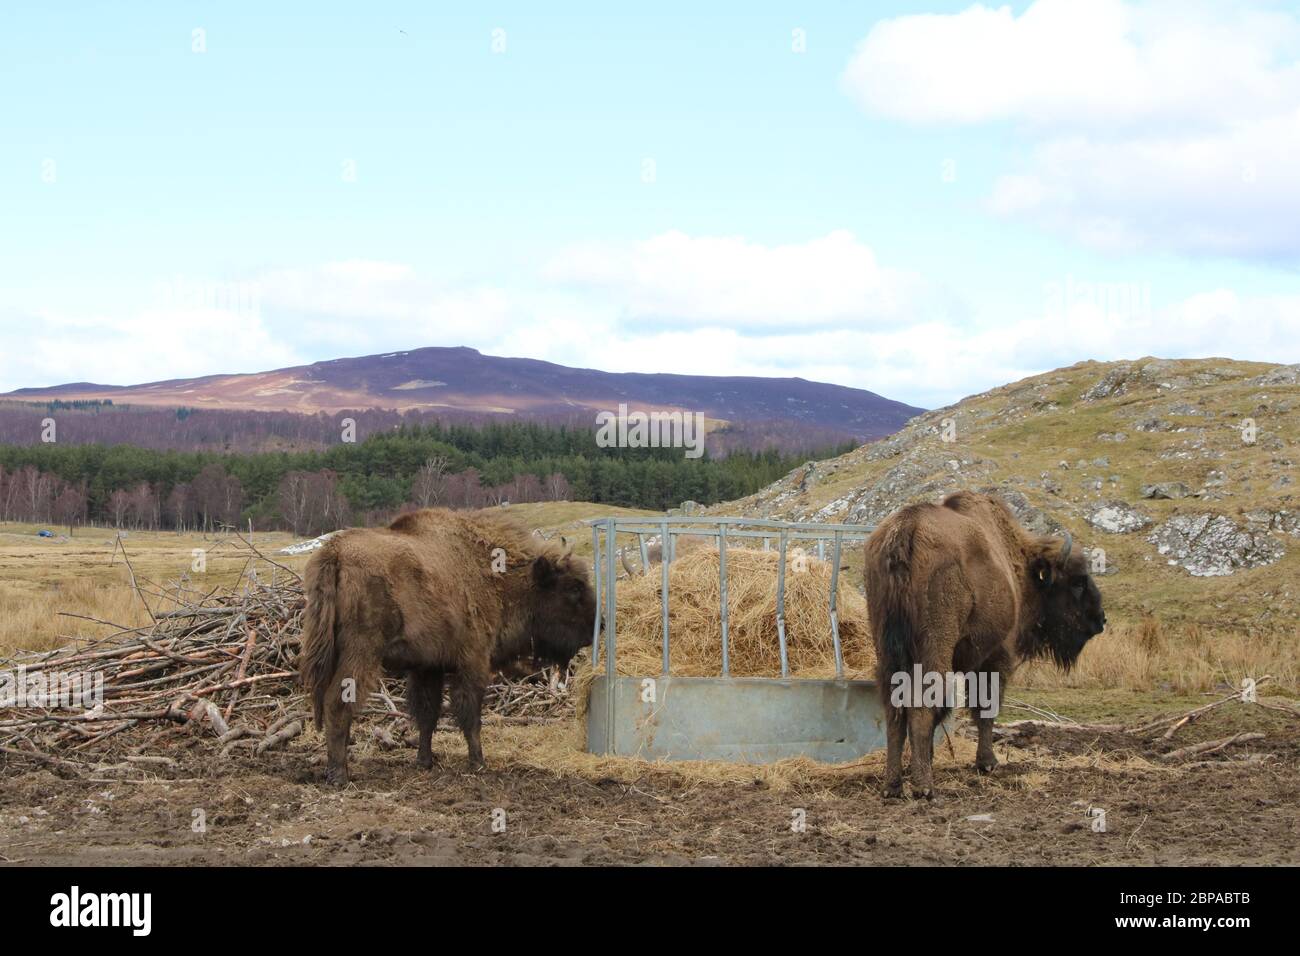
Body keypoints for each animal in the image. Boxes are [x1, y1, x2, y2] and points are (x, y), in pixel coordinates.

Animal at [298, 508, 596, 785]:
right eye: (573, 588)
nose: (598, 625)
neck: (495, 576)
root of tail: (335, 552)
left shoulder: (428, 667)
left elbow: (427, 713)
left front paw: (424, 761)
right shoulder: (472, 661)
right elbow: (469, 714)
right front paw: (478, 763)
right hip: (362, 653)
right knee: (338, 702)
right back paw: (339, 774)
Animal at [863, 490, 1105, 799]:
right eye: (1077, 582)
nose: (1100, 619)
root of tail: (906, 529)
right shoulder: (996, 657)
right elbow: (985, 708)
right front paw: (987, 763)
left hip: (887, 650)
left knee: (894, 708)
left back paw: (893, 786)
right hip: (933, 649)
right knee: (921, 704)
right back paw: (924, 788)